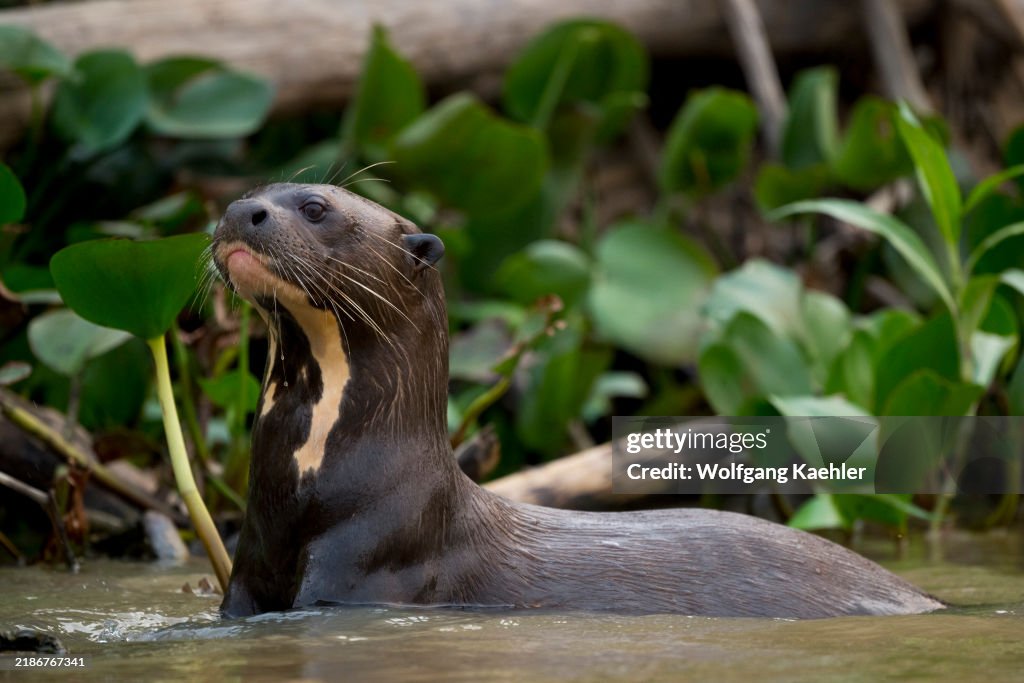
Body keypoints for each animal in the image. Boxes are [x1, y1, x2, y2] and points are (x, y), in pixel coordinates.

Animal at [211, 183, 943, 619]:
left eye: (315, 206)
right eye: (258, 191)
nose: (239, 210)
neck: (314, 483)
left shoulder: (367, 560)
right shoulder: (248, 569)